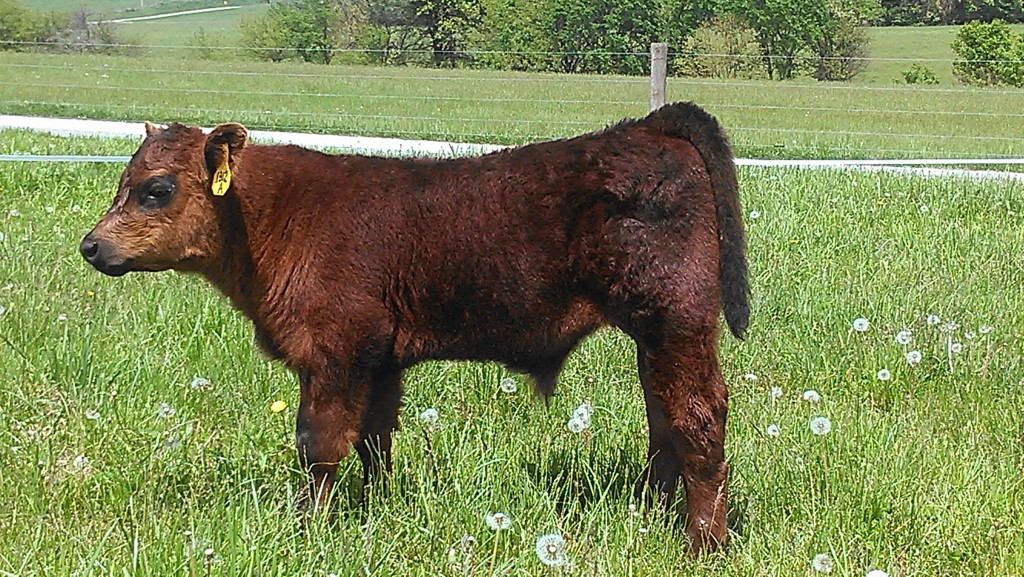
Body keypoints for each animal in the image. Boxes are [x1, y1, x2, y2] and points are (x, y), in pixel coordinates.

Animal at [80, 102, 748, 553]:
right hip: (656, 336)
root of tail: (647, 126)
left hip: (678, 321)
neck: (273, 219)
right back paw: (655, 517)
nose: (91, 245)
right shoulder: (380, 360)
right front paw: (374, 512)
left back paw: (703, 545)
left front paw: (307, 531)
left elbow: (319, 446)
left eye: (156, 189)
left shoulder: (335, 352)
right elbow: (374, 442)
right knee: (663, 418)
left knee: (698, 419)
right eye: (121, 183)